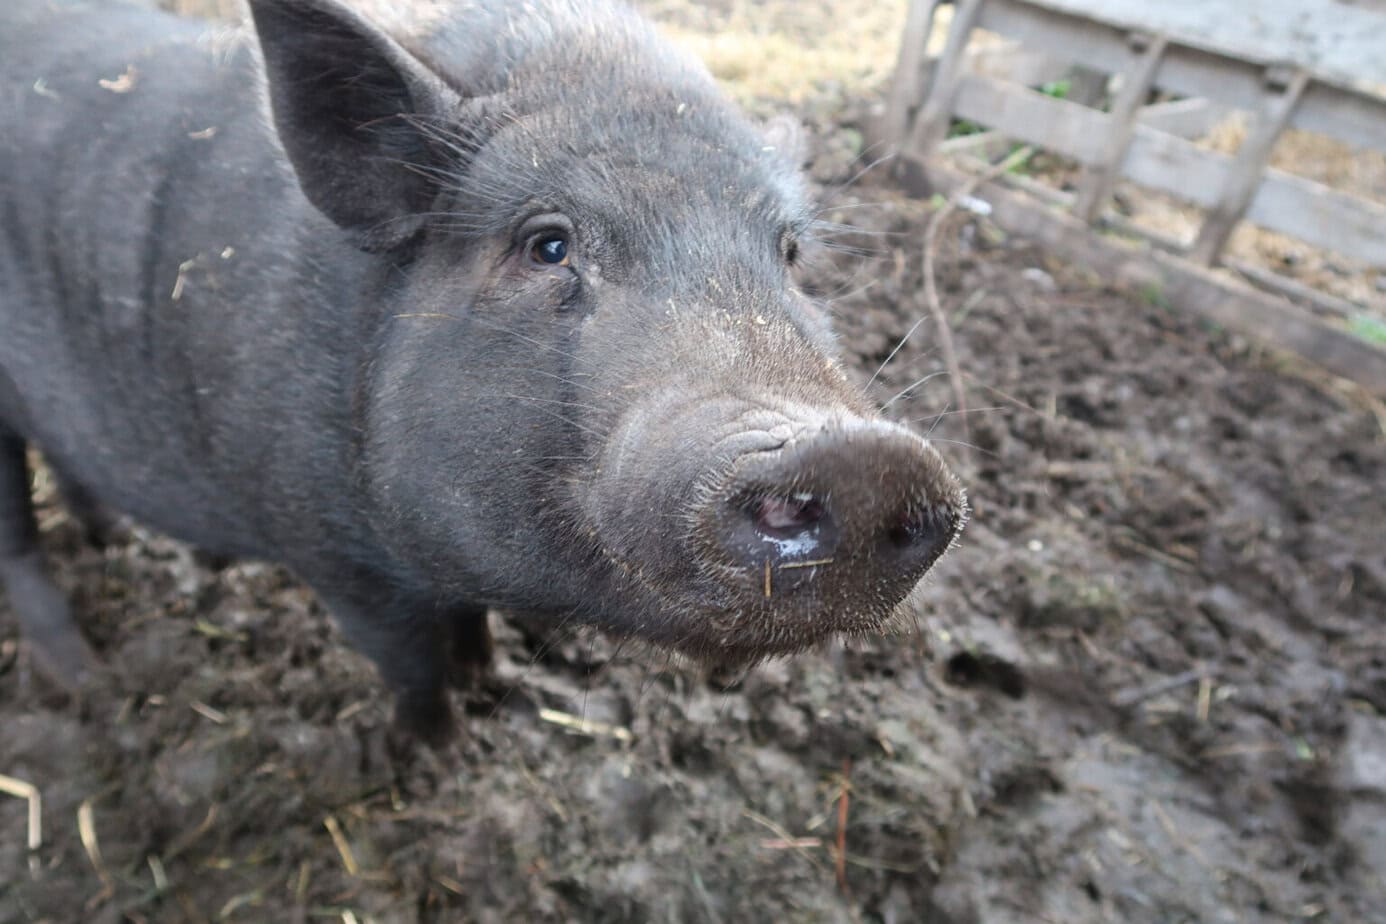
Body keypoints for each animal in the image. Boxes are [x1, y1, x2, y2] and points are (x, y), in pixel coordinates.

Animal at [0, 0, 966, 742]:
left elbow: (470, 632)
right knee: (20, 551)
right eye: (548, 244)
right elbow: (411, 663)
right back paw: (88, 685)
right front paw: (440, 749)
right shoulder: (331, 554)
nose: (867, 458)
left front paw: (494, 687)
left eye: (790, 256)